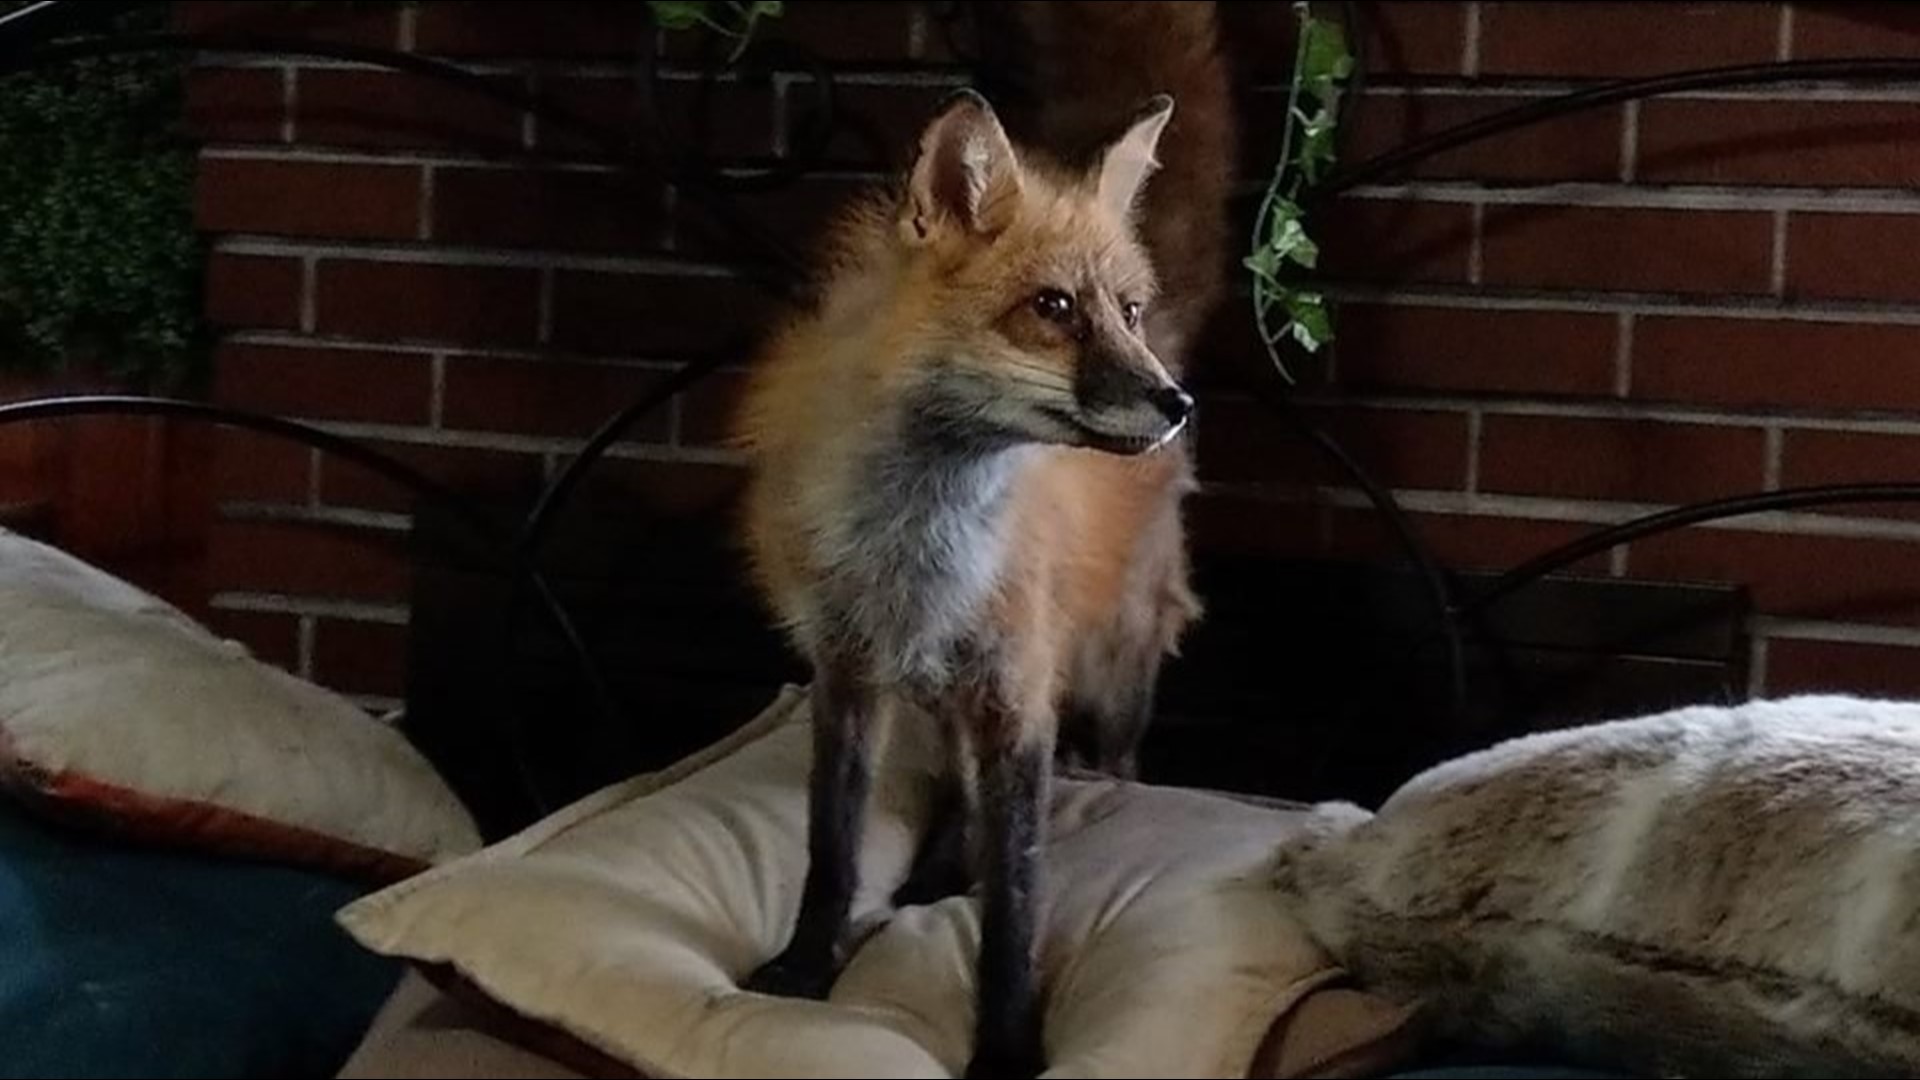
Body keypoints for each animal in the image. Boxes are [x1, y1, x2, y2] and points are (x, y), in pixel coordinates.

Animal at [729, 3, 1236, 1075]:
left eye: (1121, 310)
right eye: (1053, 307)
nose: (1175, 403)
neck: (921, 545)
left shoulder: (1023, 702)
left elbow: (1016, 904)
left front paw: (1006, 1044)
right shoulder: (848, 675)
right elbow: (831, 849)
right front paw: (804, 968)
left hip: (1110, 672)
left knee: (1113, 766)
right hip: (949, 689)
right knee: (955, 790)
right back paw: (934, 869)